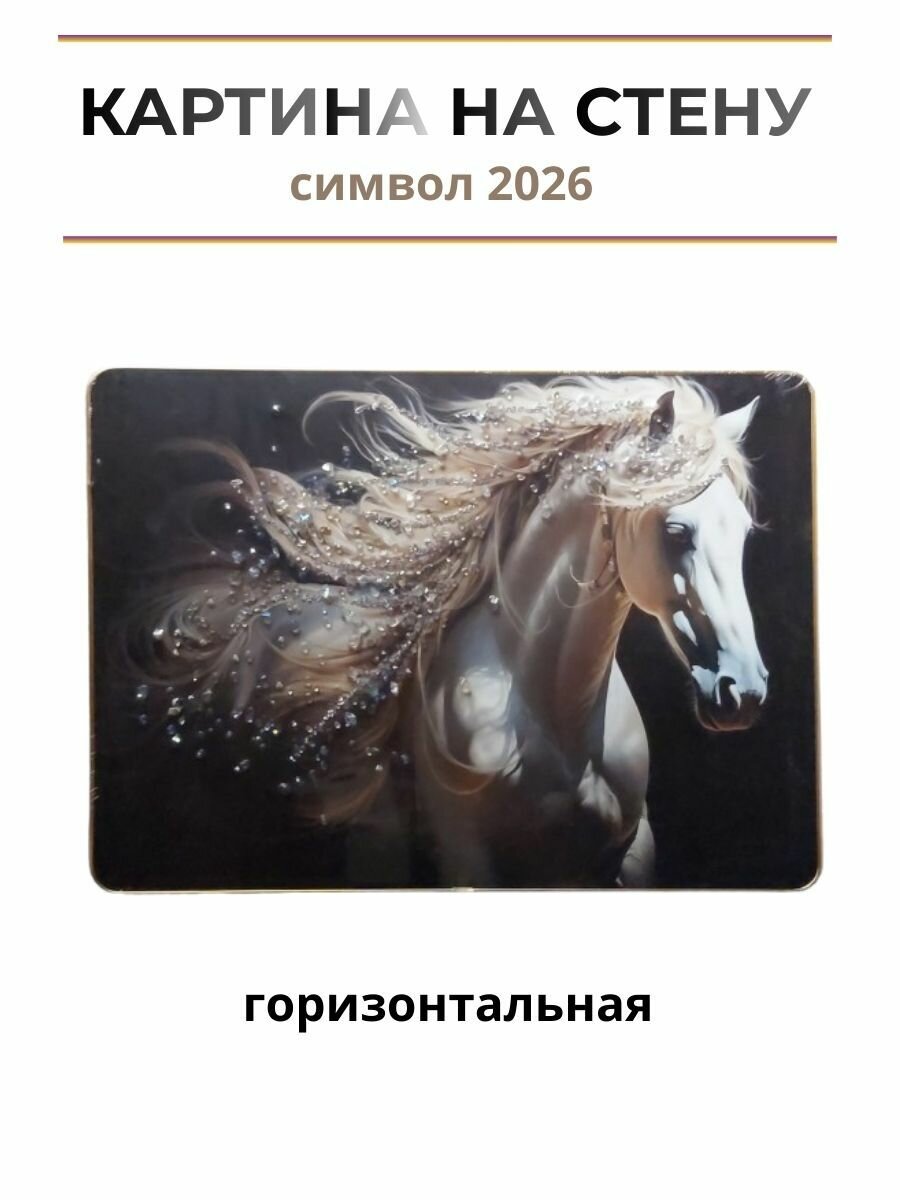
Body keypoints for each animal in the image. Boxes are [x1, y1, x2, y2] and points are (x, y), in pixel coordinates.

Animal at [135, 375, 768, 886]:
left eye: (742, 531)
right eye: (676, 530)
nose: (743, 691)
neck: (553, 717)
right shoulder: (473, 864)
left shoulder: (631, 857)